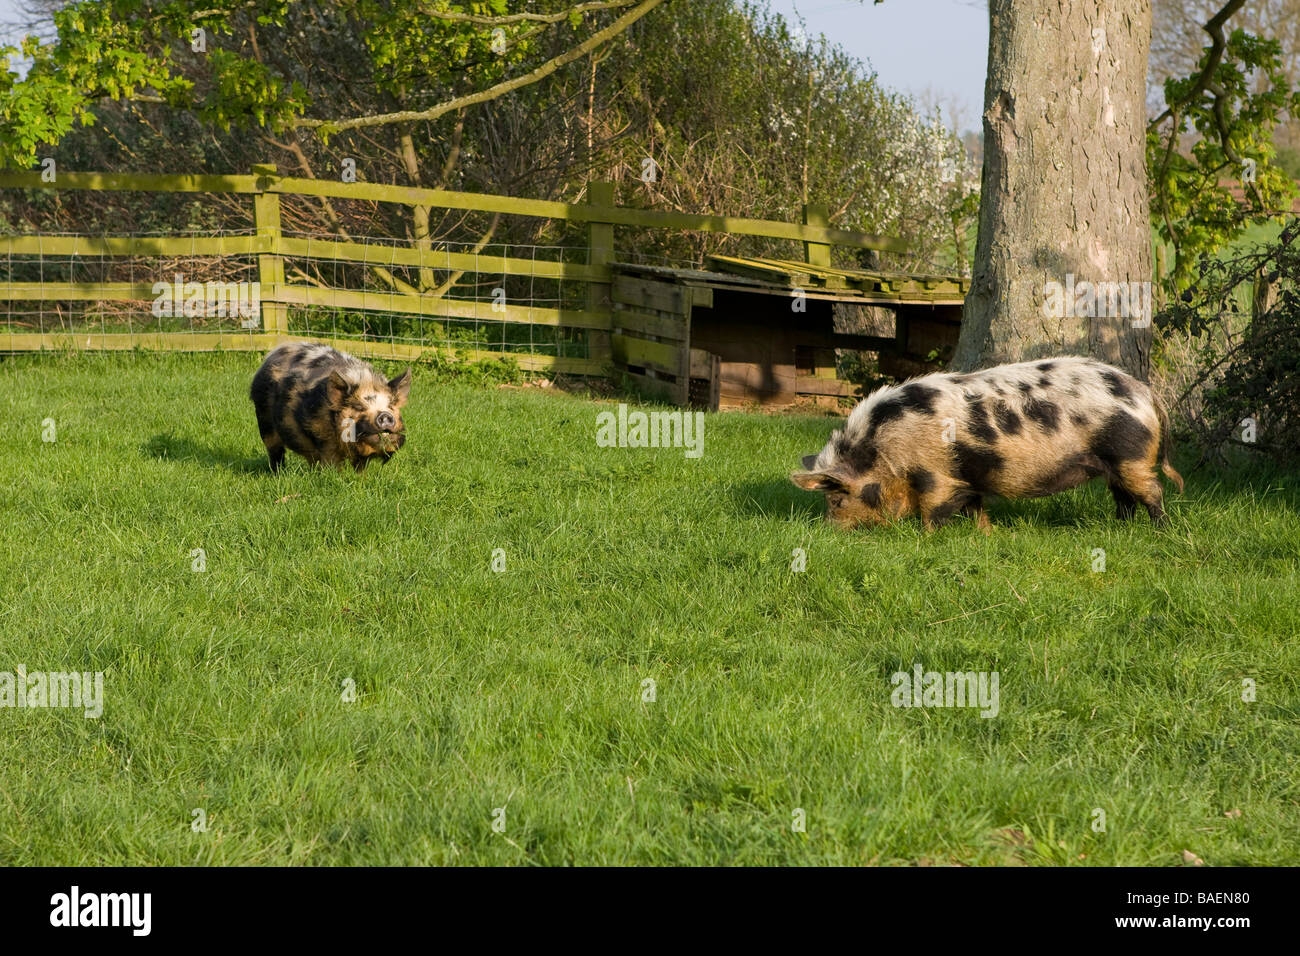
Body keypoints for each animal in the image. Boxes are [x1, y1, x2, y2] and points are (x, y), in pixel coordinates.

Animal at [250, 342, 411, 472]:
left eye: (391, 405)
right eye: (358, 407)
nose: (385, 415)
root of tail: (274, 352)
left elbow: (361, 468)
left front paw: (360, 479)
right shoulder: (322, 437)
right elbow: (331, 461)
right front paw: (335, 476)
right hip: (264, 419)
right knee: (275, 451)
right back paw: (278, 473)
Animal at [791, 357, 1183, 530]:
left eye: (837, 499)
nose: (826, 531)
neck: (883, 451)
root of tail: (1146, 393)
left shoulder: (934, 473)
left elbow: (935, 509)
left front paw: (926, 536)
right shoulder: (968, 475)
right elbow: (974, 505)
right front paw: (986, 534)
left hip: (1128, 454)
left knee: (1151, 491)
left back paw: (1160, 530)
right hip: (1115, 464)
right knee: (1124, 497)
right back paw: (1119, 529)